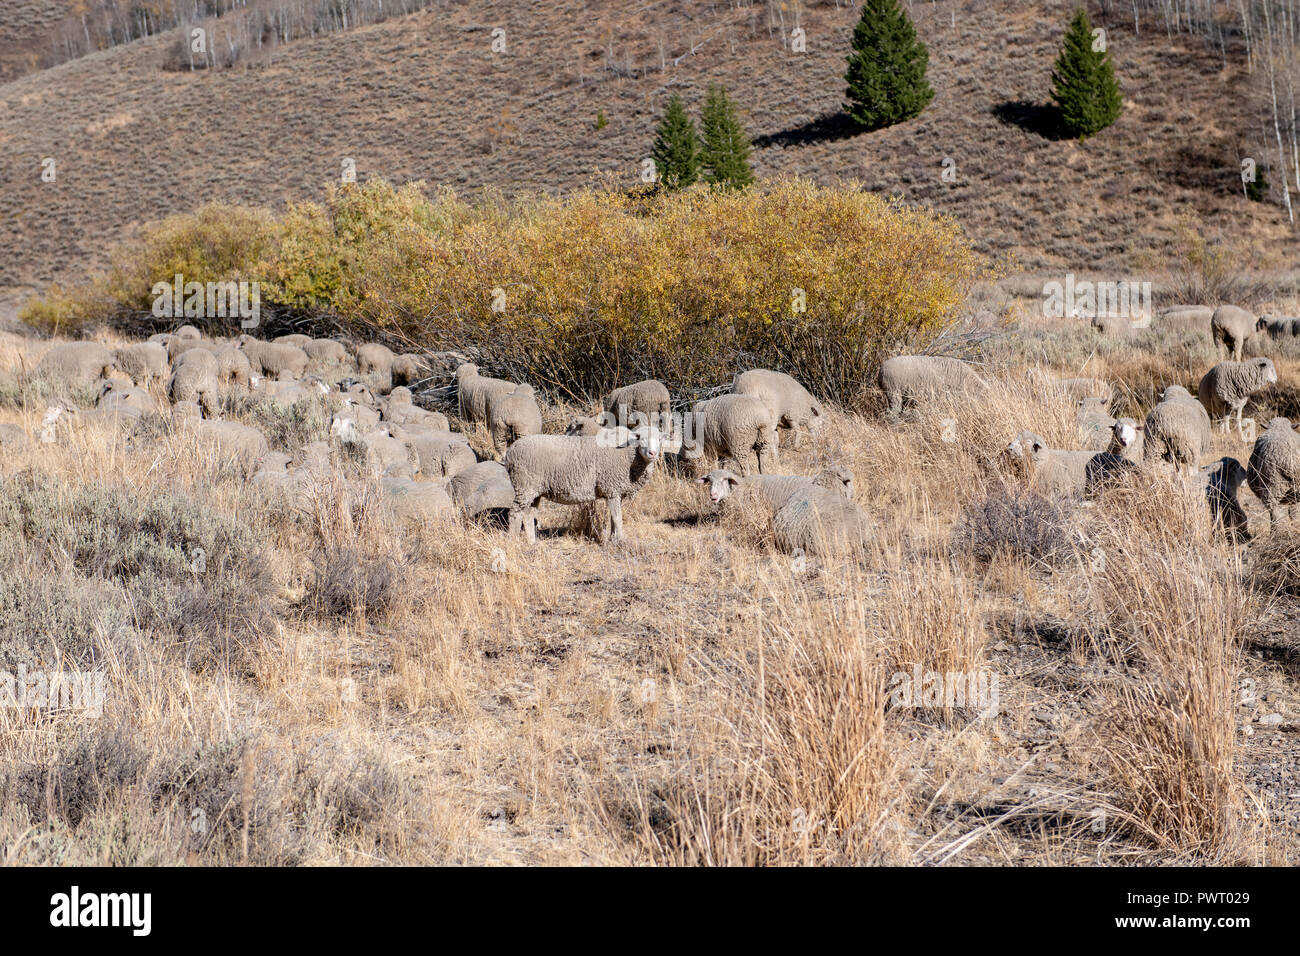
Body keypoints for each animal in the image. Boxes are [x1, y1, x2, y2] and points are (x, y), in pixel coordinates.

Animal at [503, 427, 662, 544]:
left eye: (660, 439)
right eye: (640, 438)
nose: (652, 453)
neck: (628, 454)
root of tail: (510, 451)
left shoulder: (616, 492)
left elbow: (613, 518)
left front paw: (613, 539)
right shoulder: (611, 488)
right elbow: (618, 518)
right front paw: (621, 541)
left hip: (534, 490)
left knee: (528, 514)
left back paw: (532, 543)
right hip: (524, 485)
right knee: (515, 513)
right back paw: (513, 541)